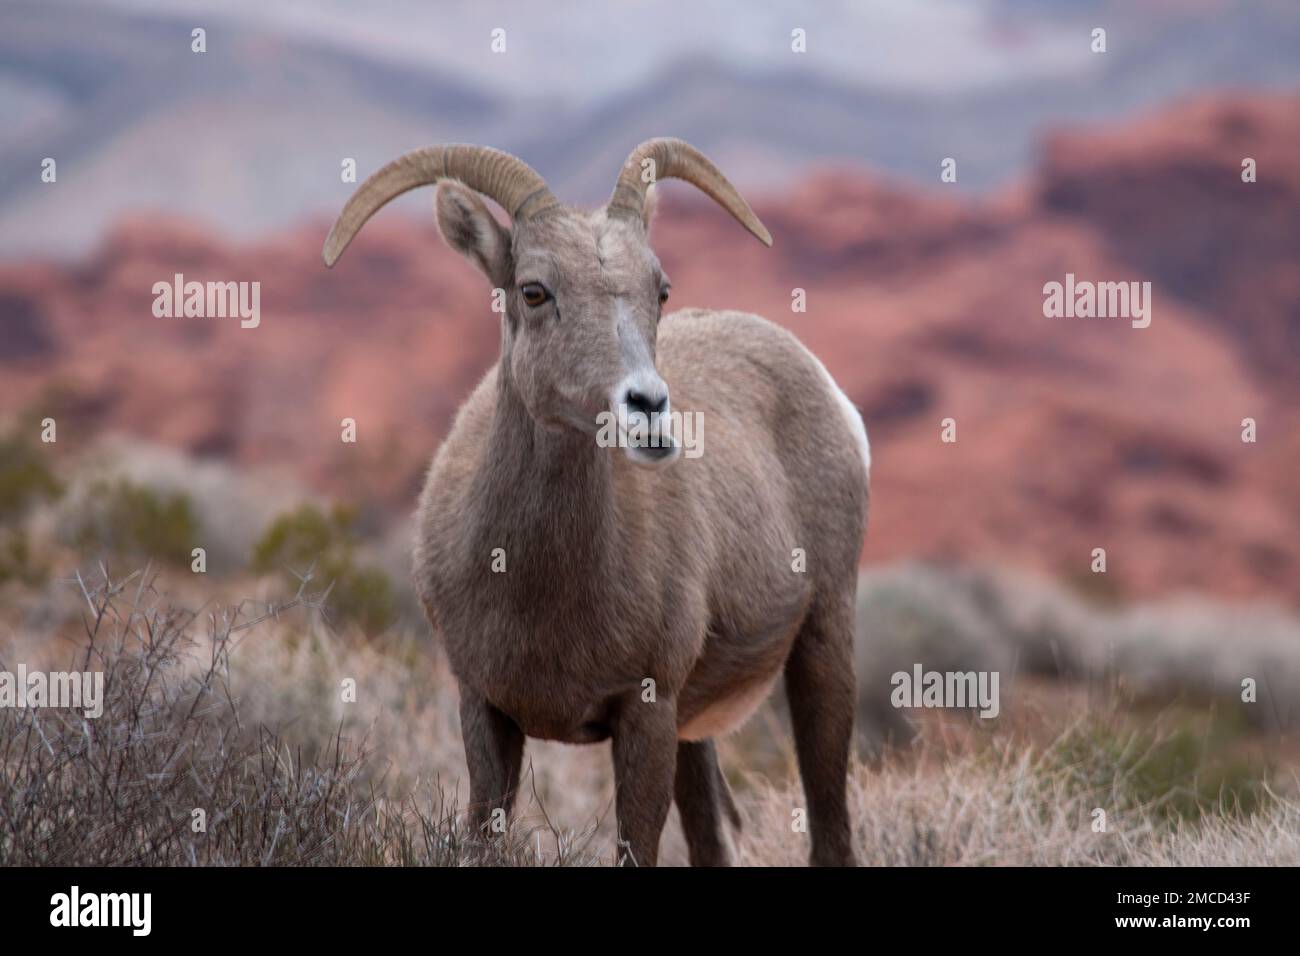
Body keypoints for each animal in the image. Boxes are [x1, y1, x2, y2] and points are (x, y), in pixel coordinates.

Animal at [323, 139, 870, 866]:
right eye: (534, 290)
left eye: (660, 290)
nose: (648, 409)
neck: (538, 589)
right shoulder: (485, 711)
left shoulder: (646, 714)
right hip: (698, 732)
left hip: (822, 647)